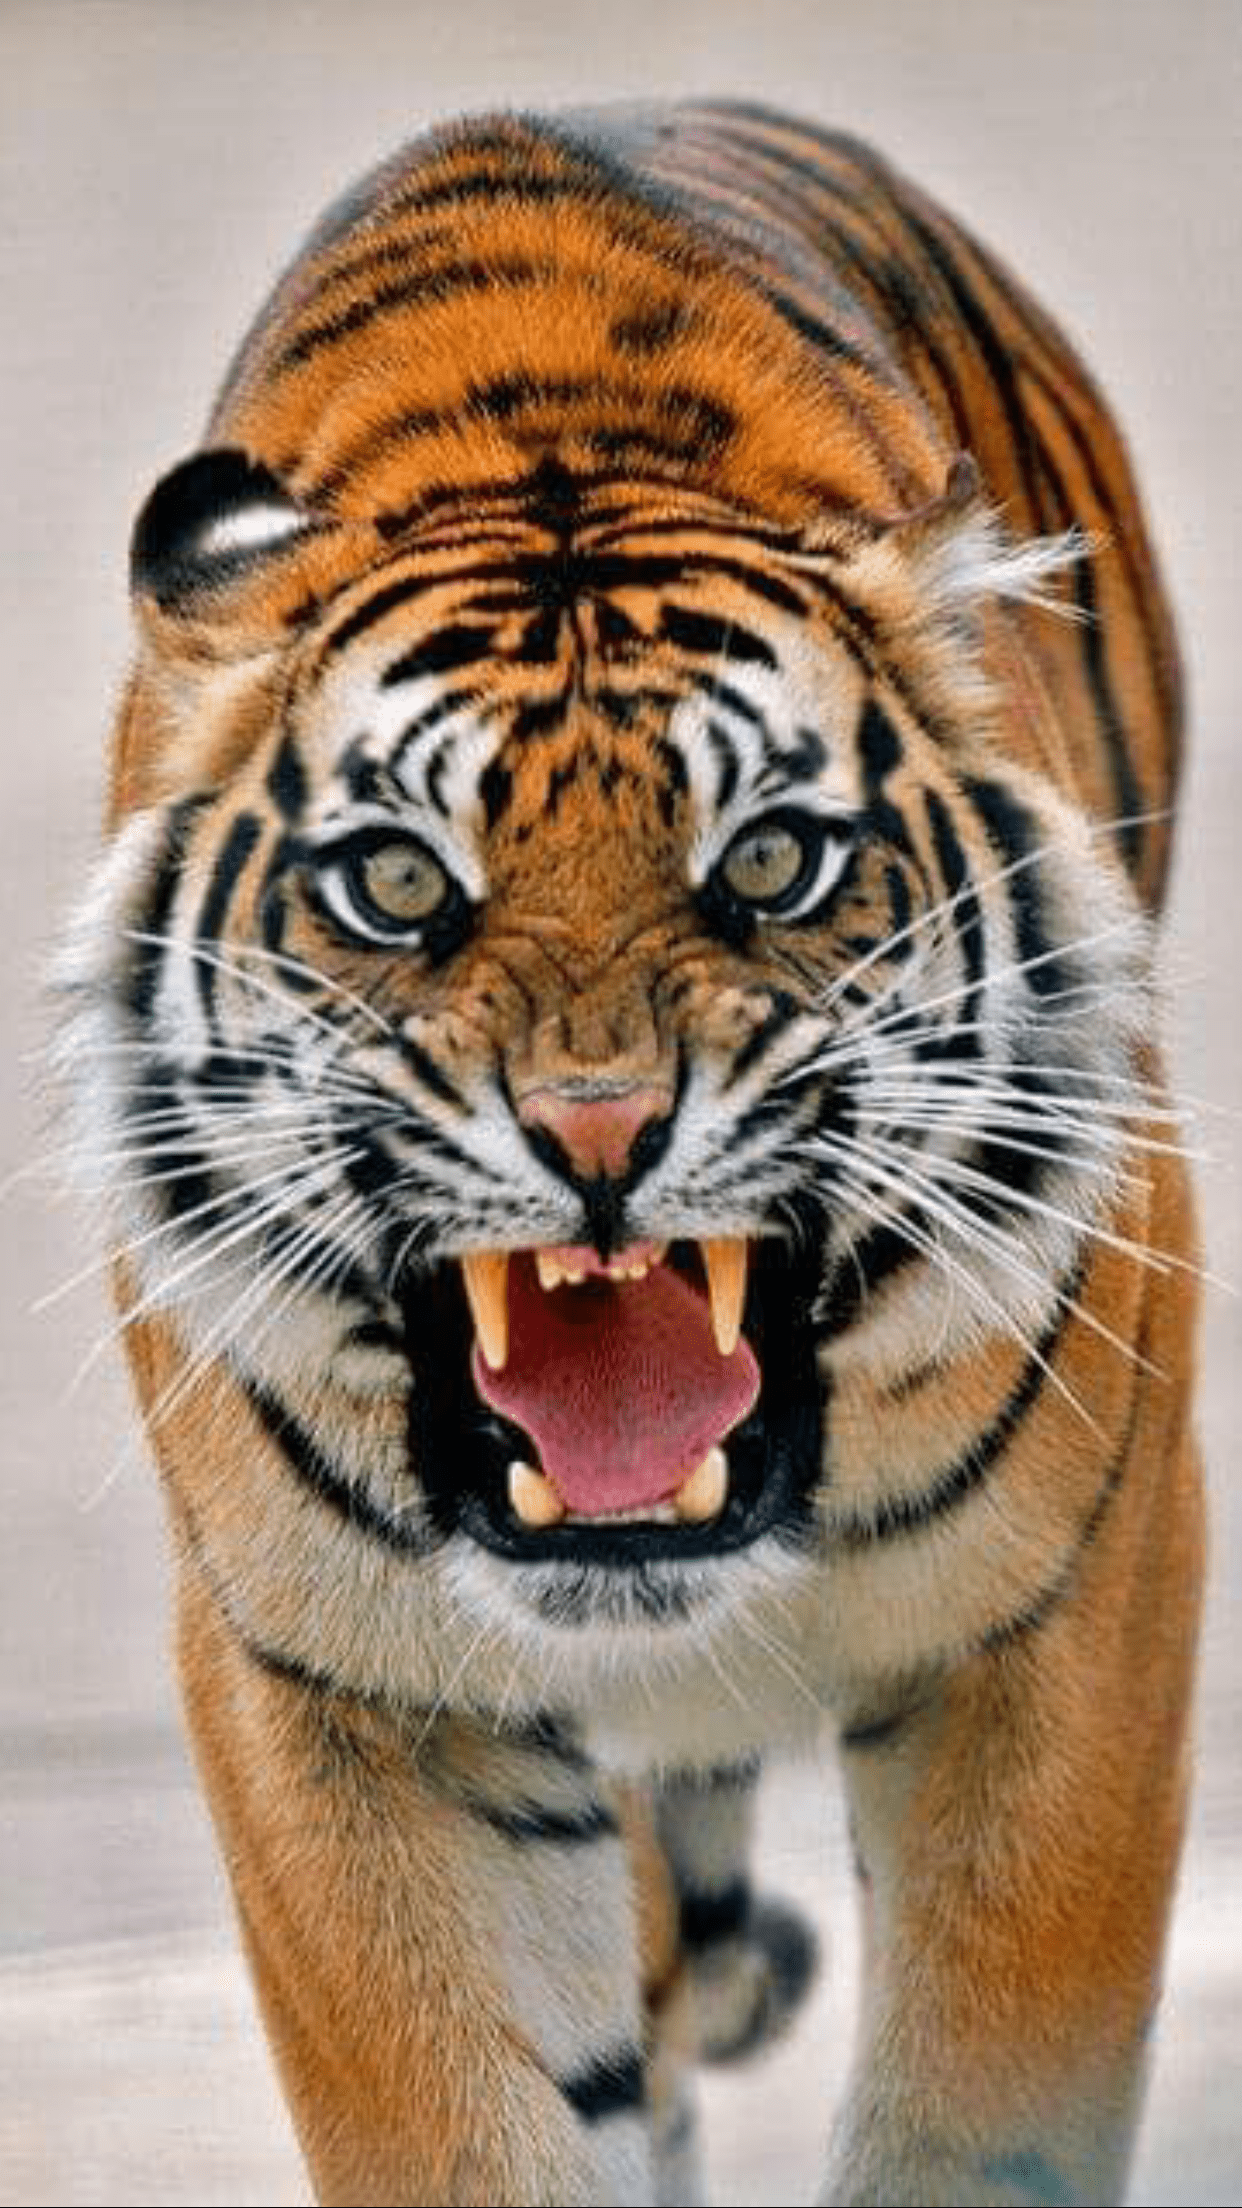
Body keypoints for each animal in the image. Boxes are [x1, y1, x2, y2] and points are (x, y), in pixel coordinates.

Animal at [53, 100, 1204, 2206]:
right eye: (399, 880)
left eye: (770, 860)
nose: (597, 1128)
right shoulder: (347, 1698)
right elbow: (471, 2108)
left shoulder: (1074, 1600)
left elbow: (987, 2090)